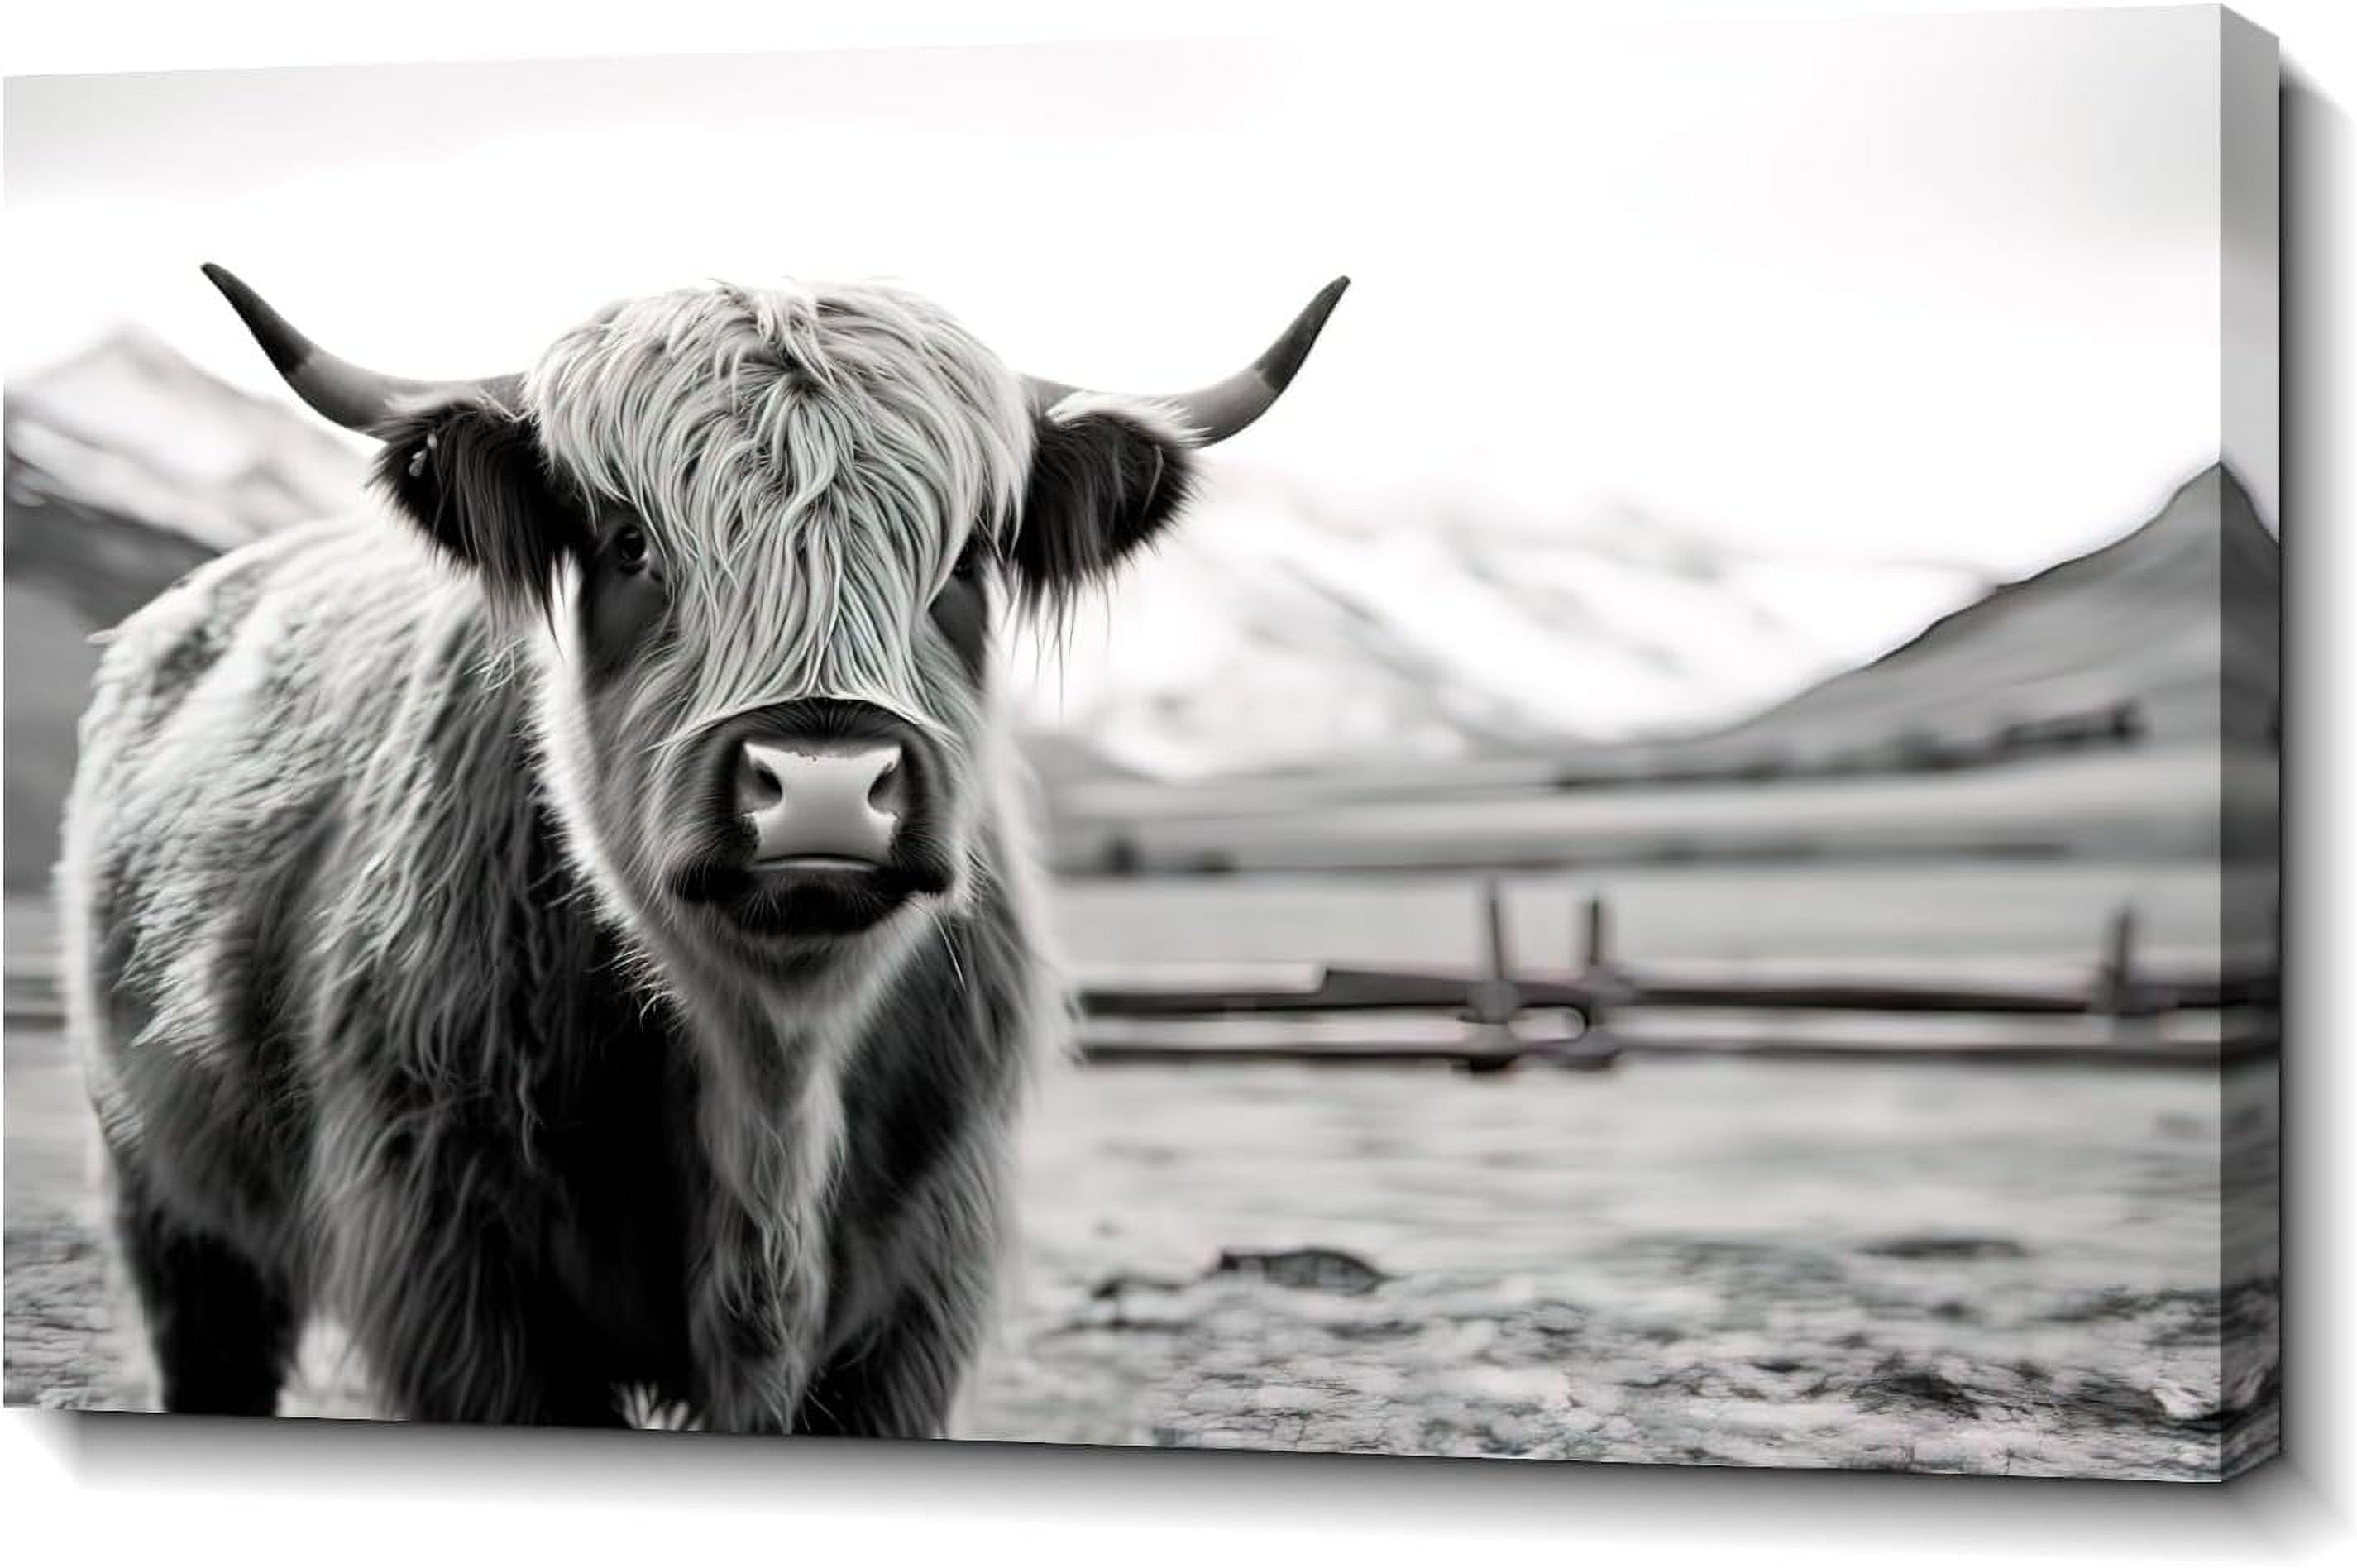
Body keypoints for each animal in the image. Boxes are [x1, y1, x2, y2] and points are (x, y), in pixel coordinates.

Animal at [58, 263, 1345, 1433]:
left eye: (969, 558)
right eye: (631, 543)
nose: (823, 784)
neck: (770, 1080)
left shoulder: (912, 1306)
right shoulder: (457, 1278)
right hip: (166, 1201)